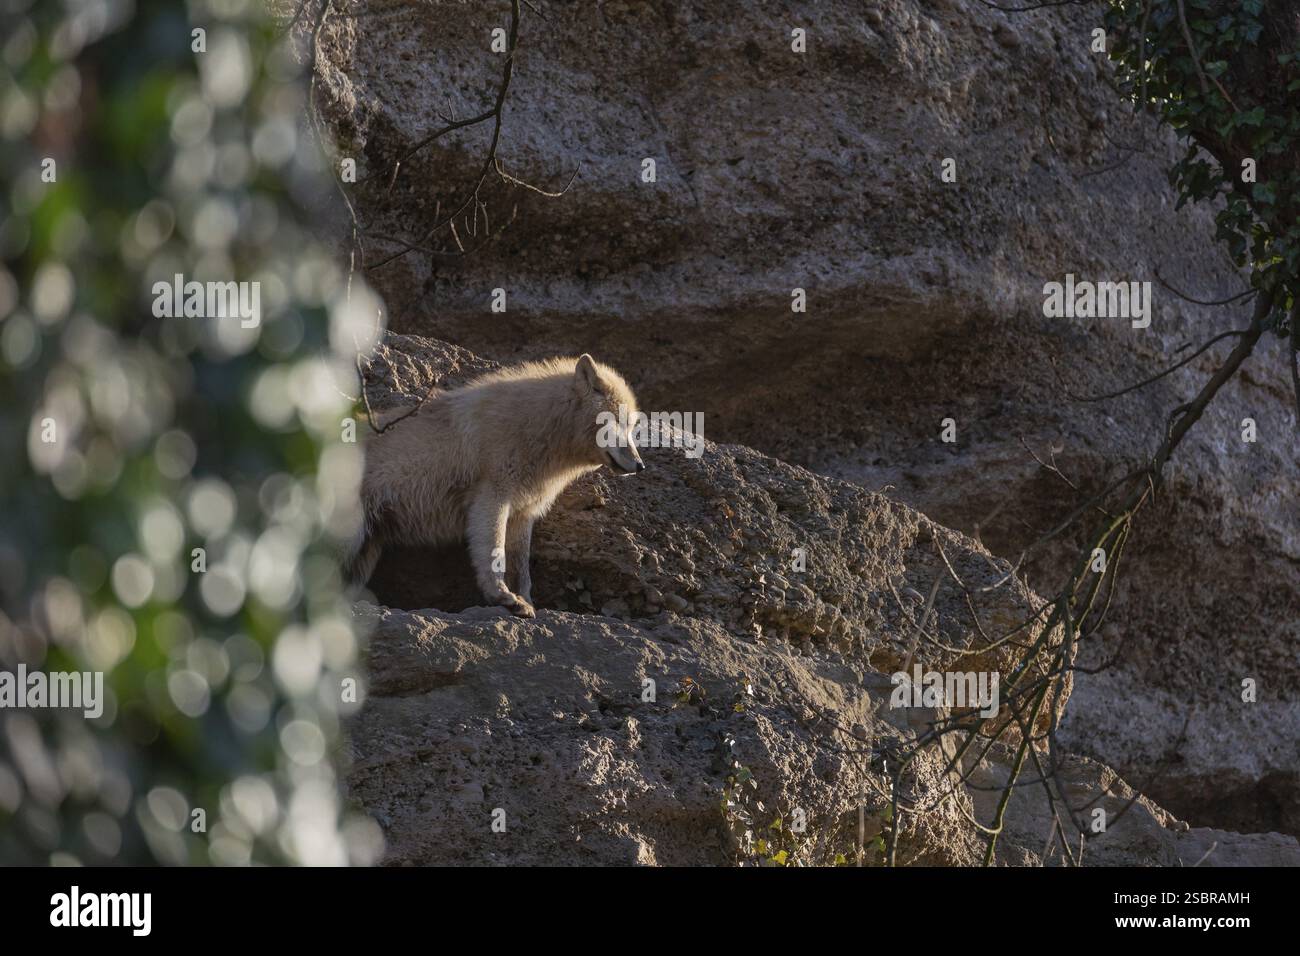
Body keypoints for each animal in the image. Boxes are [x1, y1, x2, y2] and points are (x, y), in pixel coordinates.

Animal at [343, 354, 644, 617]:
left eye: (631, 427)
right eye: (618, 423)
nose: (640, 465)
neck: (534, 429)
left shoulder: (524, 513)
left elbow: (521, 569)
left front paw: (526, 602)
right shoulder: (492, 499)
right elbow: (494, 555)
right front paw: (503, 597)